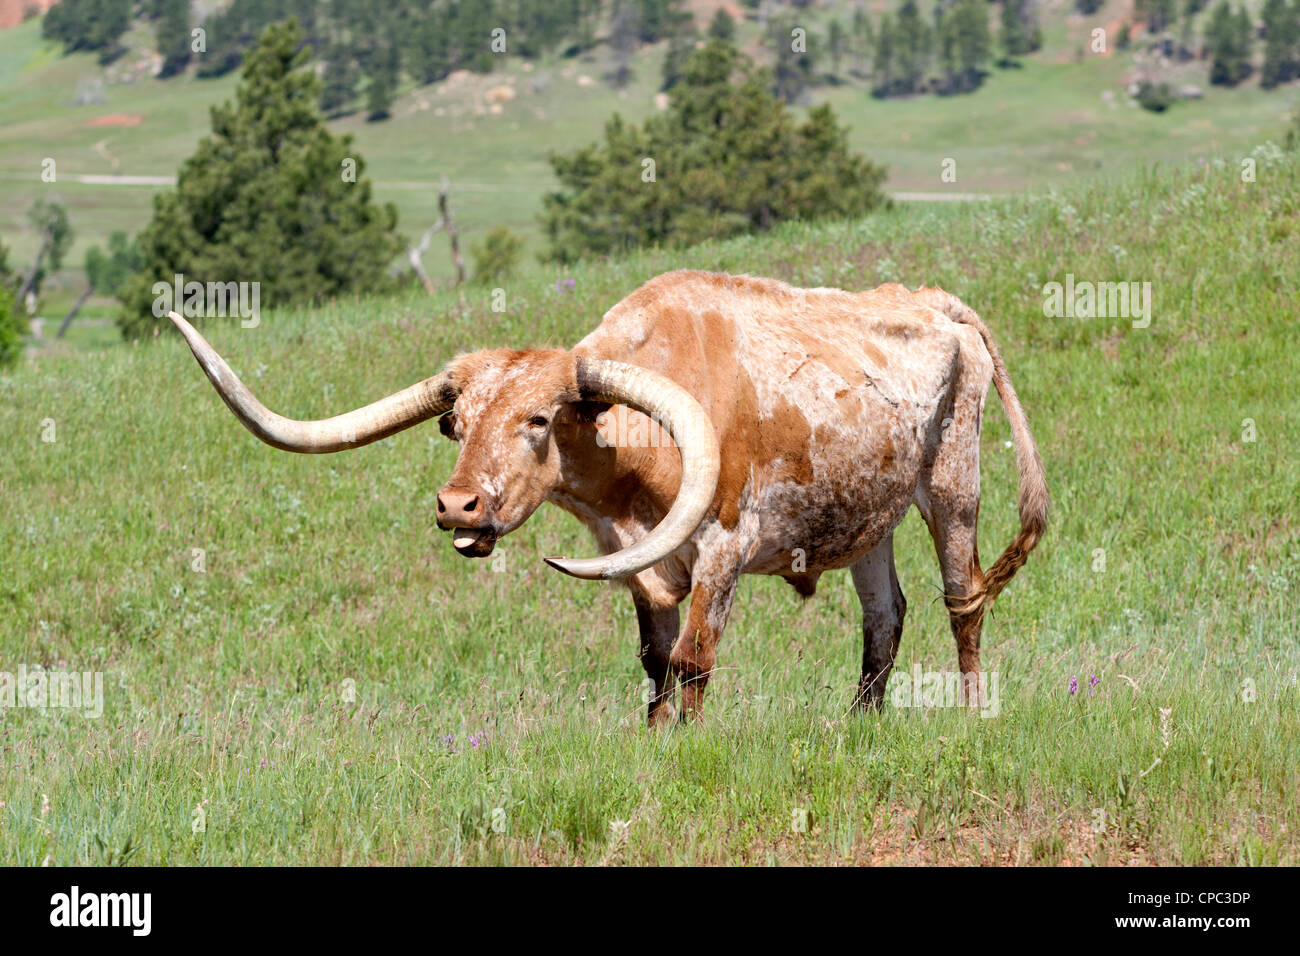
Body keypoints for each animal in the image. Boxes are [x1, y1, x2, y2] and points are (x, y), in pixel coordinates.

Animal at [169, 270, 1047, 727]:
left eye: (538, 418)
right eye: (456, 423)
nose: (459, 507)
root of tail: (931, 298)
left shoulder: (723, 548)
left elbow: (694, 659)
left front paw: (692, 748)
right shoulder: (638, 565)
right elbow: (656, 664)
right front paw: (655, 748)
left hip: (953, 485)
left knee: (962, 600)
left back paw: (970, 714)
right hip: (869, 516)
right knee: (884, 617)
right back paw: (860, 728)